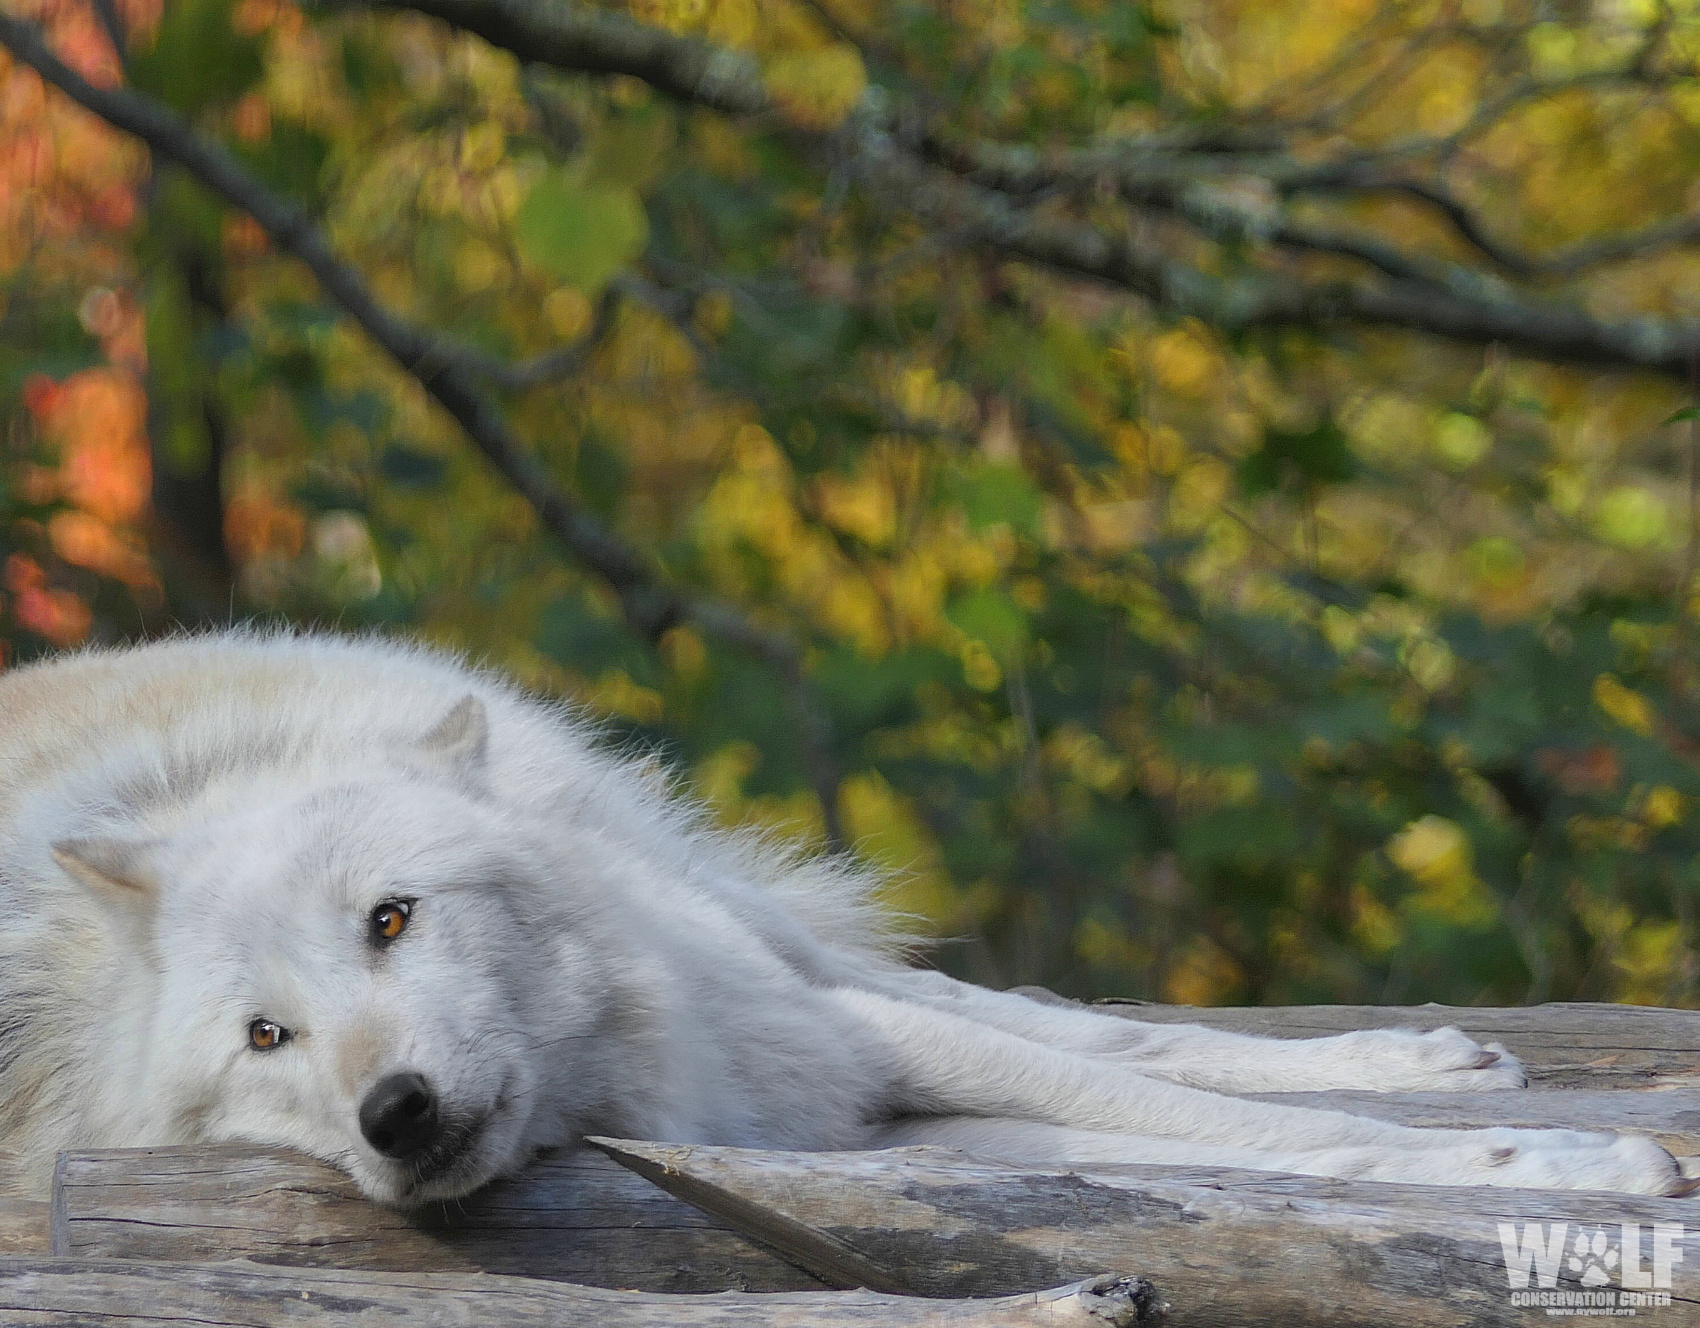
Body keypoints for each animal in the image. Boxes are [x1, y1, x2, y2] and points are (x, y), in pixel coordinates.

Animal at [0, 631, 1688, 1206]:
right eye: (266, 1039)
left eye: (392, 922)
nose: (396, 1116)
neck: (611, 1092)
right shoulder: (827, 1122)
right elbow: (1172, 1140)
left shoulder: (819, 1047)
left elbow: (1241, 1118)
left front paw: (1559, 1164)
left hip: (771, 958)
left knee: (1056, 1018)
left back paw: (1430, 1059)